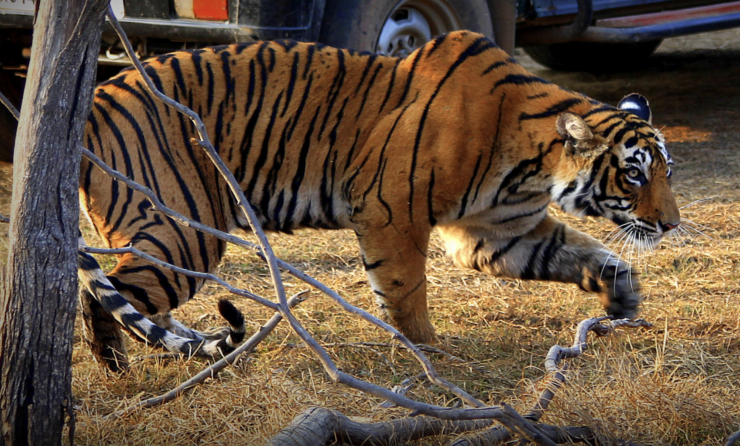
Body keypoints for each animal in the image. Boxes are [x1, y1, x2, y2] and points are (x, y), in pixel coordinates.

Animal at [77, 30, 680, 371]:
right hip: (185, 231)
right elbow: (405, 289)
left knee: (132, 300)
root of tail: (96, 95)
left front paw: (623, 299)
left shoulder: (500, 234)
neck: (533, 167)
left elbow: (583, 255)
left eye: (666, 172)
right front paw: (431, 353)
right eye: (633, 175)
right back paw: (116, 371)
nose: (671, 224)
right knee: (104, 295)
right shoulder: (393, 210)